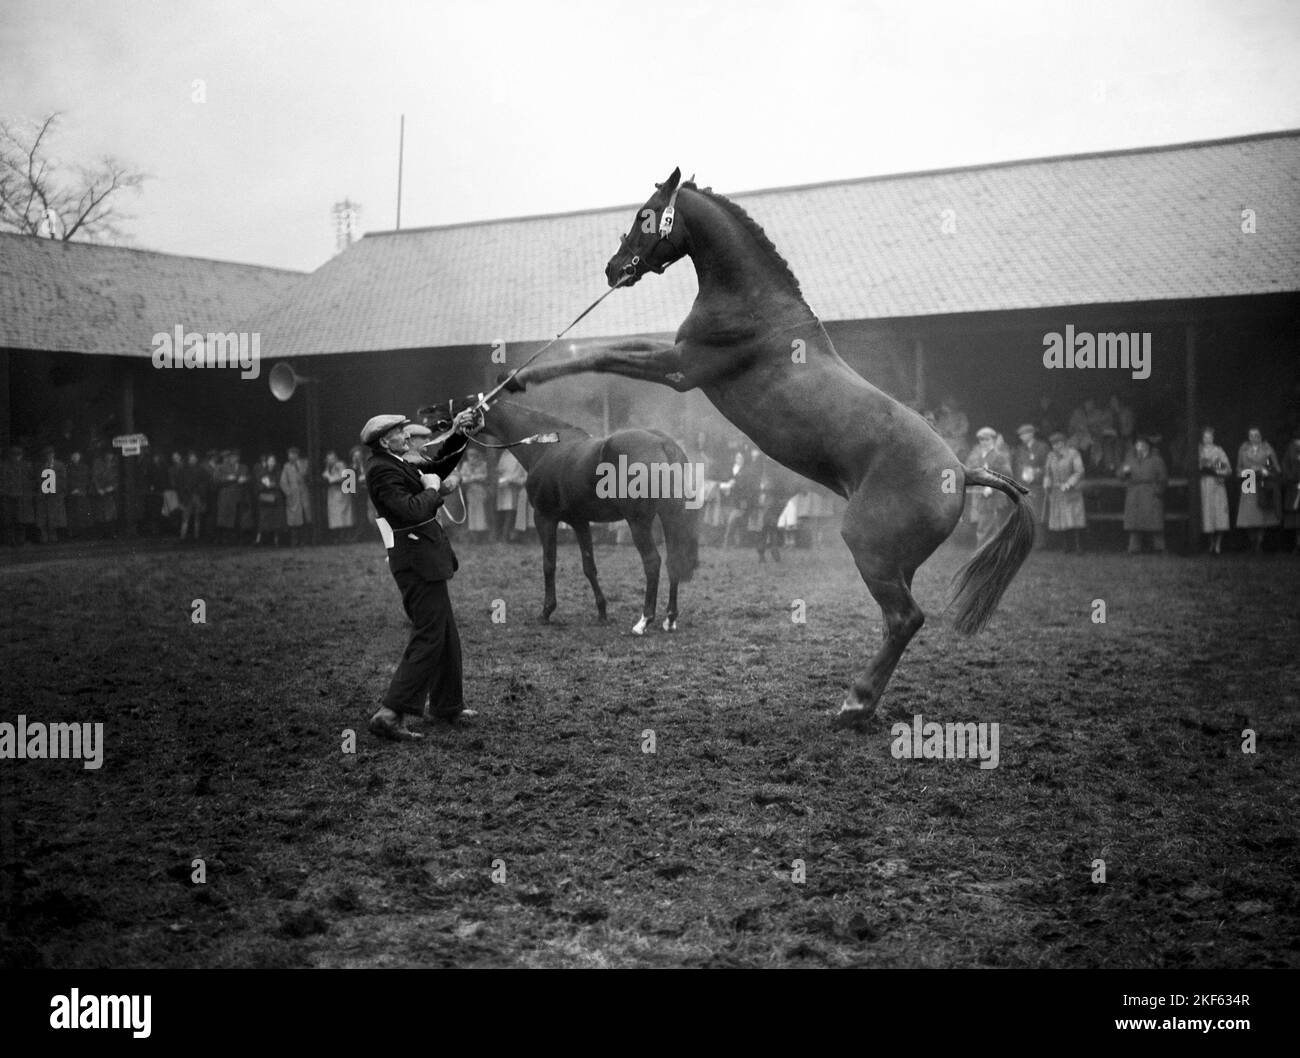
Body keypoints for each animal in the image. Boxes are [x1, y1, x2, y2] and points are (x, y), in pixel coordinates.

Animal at [418, 397, 699, 634]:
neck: (544, 446)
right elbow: (589, 567)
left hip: (639, 522)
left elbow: (549, 563)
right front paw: (602, 612)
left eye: (461, 404)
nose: (427, 411)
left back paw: (644, 620)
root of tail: (663, 443)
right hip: (670, 516)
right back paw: (670, 617)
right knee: (674, 559)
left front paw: (546, 611)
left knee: (652, 562)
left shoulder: (545, 518)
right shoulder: (580, 521)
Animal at [503, 167, 1034, 726]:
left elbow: (604, 355)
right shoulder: (676, 355)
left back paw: (854, 702)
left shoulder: (682, 369)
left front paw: (520, 379)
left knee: (906, 619)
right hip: (897, 562)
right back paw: (864, 703)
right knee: (899, 621)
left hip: (867, 549)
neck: (753, 305)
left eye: (646, 215)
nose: (612, 268)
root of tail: (965, 470)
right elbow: (616, 348)